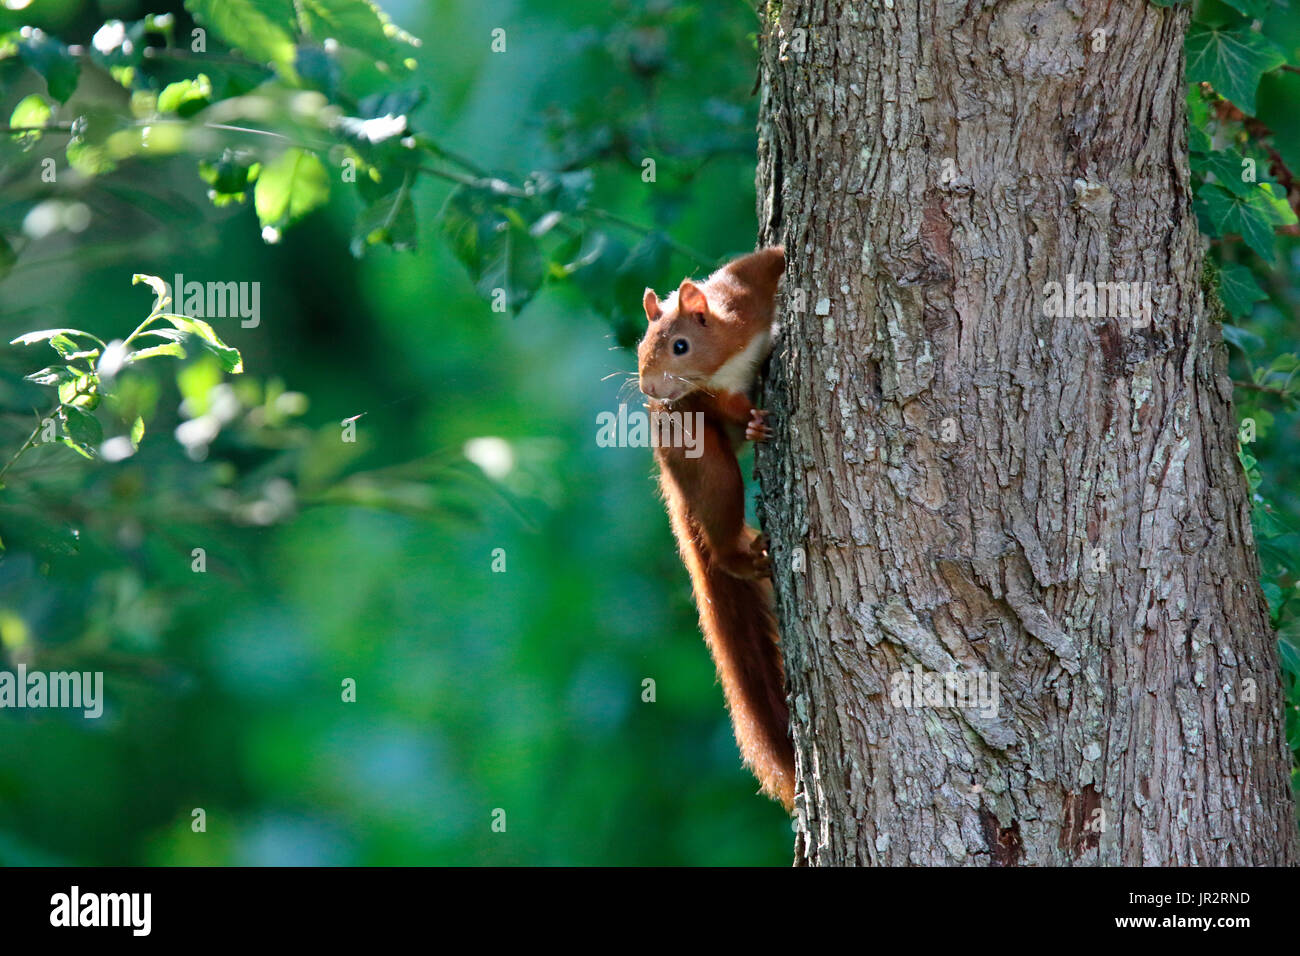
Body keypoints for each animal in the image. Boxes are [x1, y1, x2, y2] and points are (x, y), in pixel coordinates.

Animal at [637, 246, 794, 811]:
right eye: (640, 346)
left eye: (679, 345)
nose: (651, 389)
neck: (728, 348)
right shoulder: (713, 398)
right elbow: (736, 407)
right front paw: (755, 423)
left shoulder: (742, 285)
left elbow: (767, 261)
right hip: (703, 458)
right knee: (721, 523)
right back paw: (744, 557)